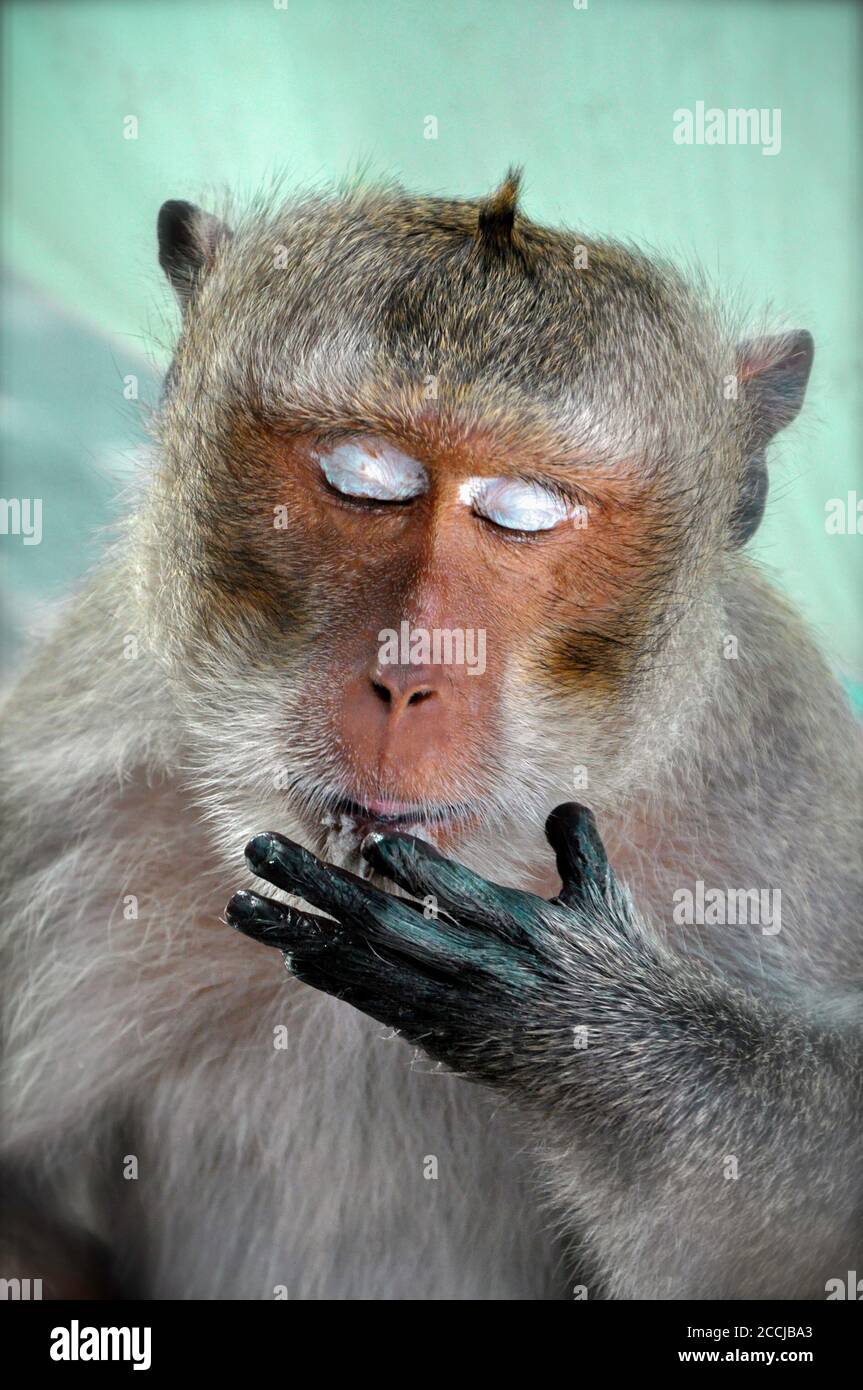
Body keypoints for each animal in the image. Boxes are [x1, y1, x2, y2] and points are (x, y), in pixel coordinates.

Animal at [0, 168, 861, 1301]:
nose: (408, 671)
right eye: (365, 477)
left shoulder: (777, 816)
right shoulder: (69, 795)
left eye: (521, 512)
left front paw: (592, 1034)